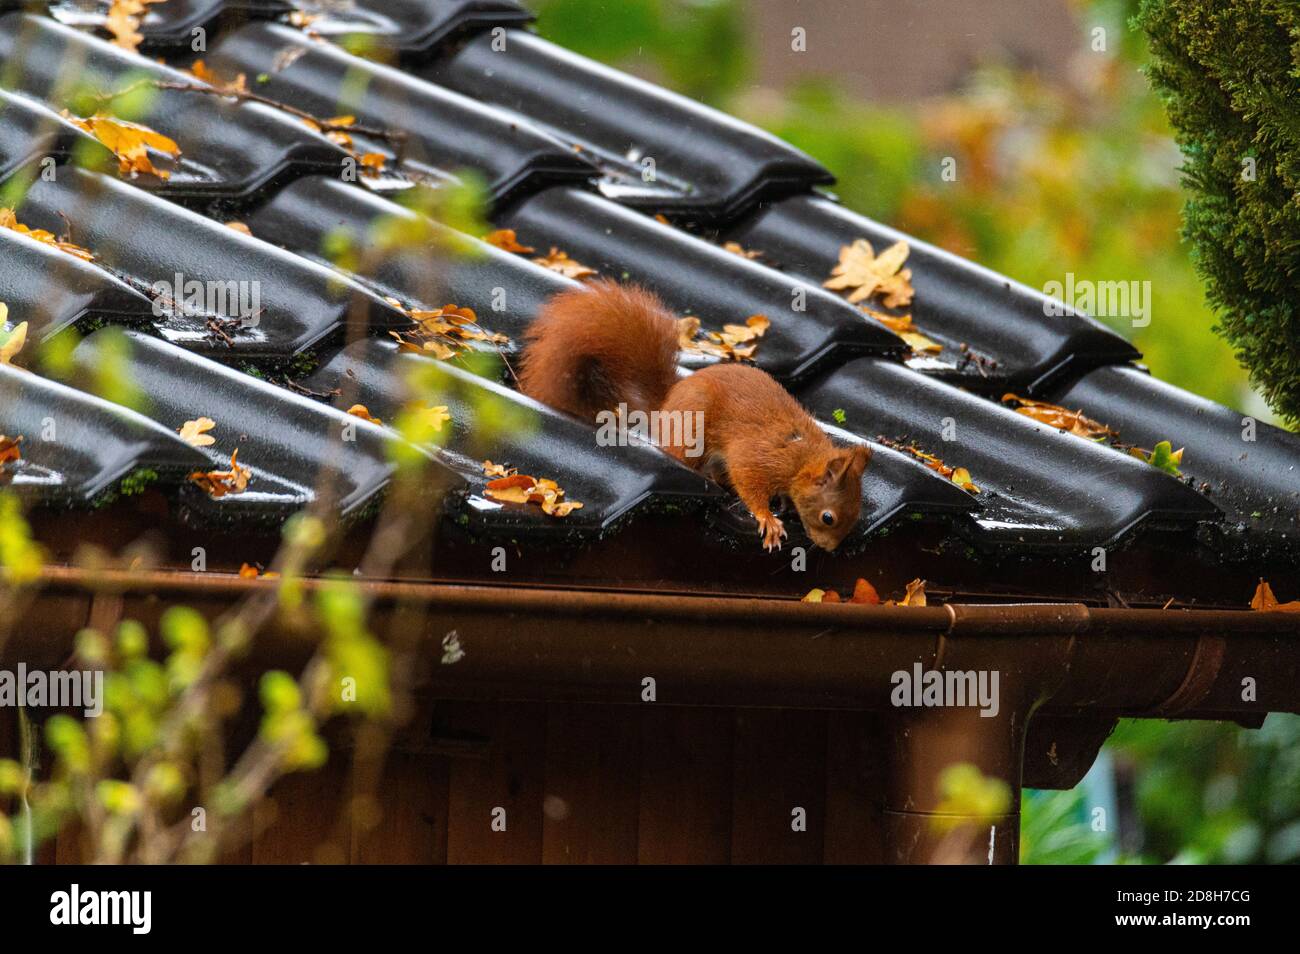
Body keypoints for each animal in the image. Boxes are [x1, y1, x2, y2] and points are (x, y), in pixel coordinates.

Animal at [519, 280, 871, 551]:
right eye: (828, 517)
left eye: (855, 514)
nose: (829, 548)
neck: (801, 457)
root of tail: (668, 401)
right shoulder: (758, 457)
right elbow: (749, 482)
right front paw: (768, 518)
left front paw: (782, 503)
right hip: (692, 433)